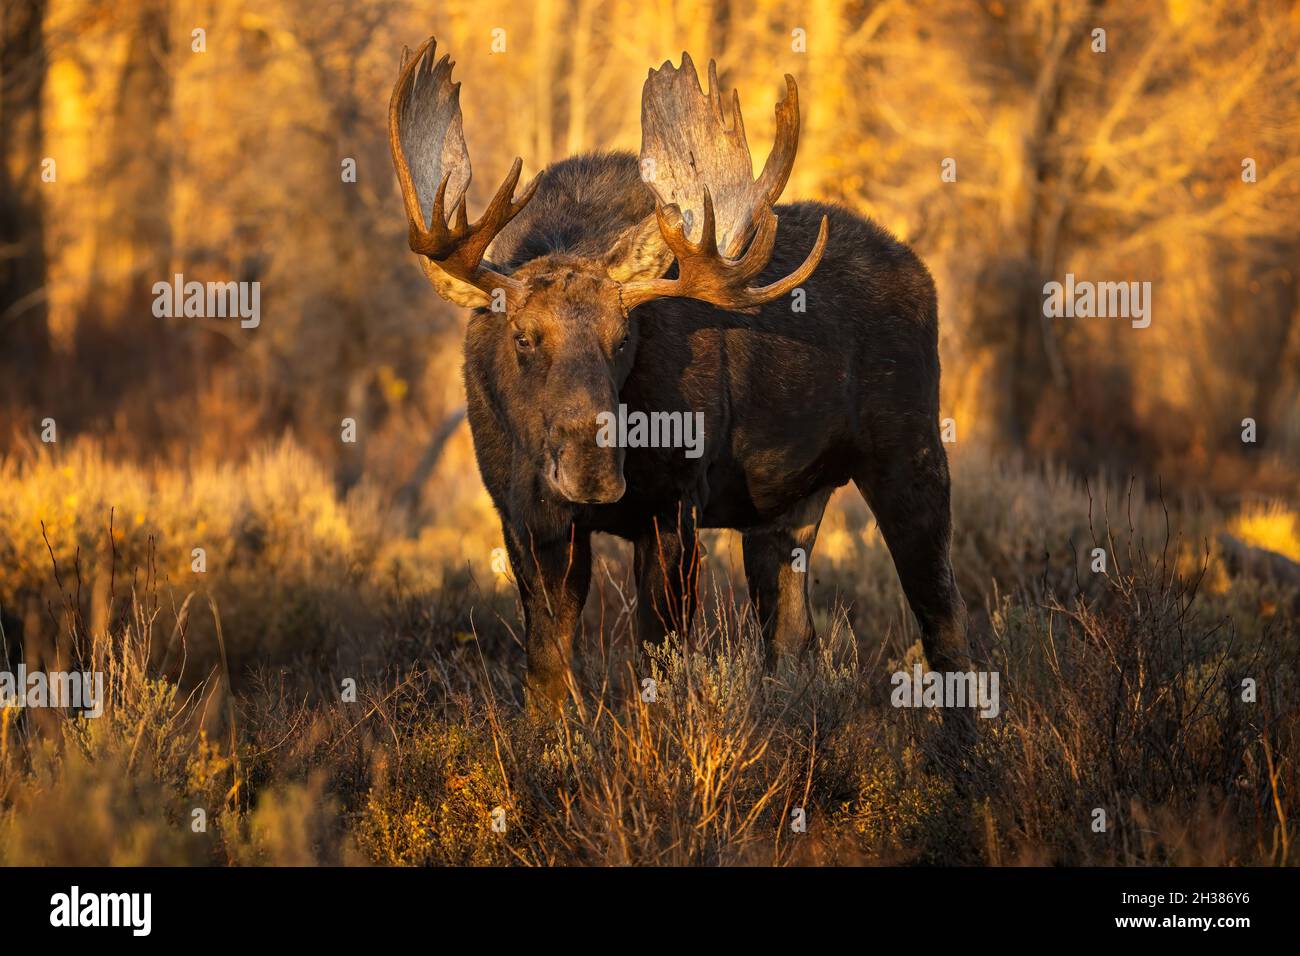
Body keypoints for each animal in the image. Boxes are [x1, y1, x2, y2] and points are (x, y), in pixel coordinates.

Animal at [389, 37, 972, 720]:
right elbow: (548, 678)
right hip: (787, 509)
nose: (591, 467)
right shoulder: (523, 514)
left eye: (624, 338)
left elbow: (660, 669)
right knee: (793, 641)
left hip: (912, 454)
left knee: (944, 616)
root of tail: (923, 277)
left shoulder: (674, 504)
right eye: (523, 336)